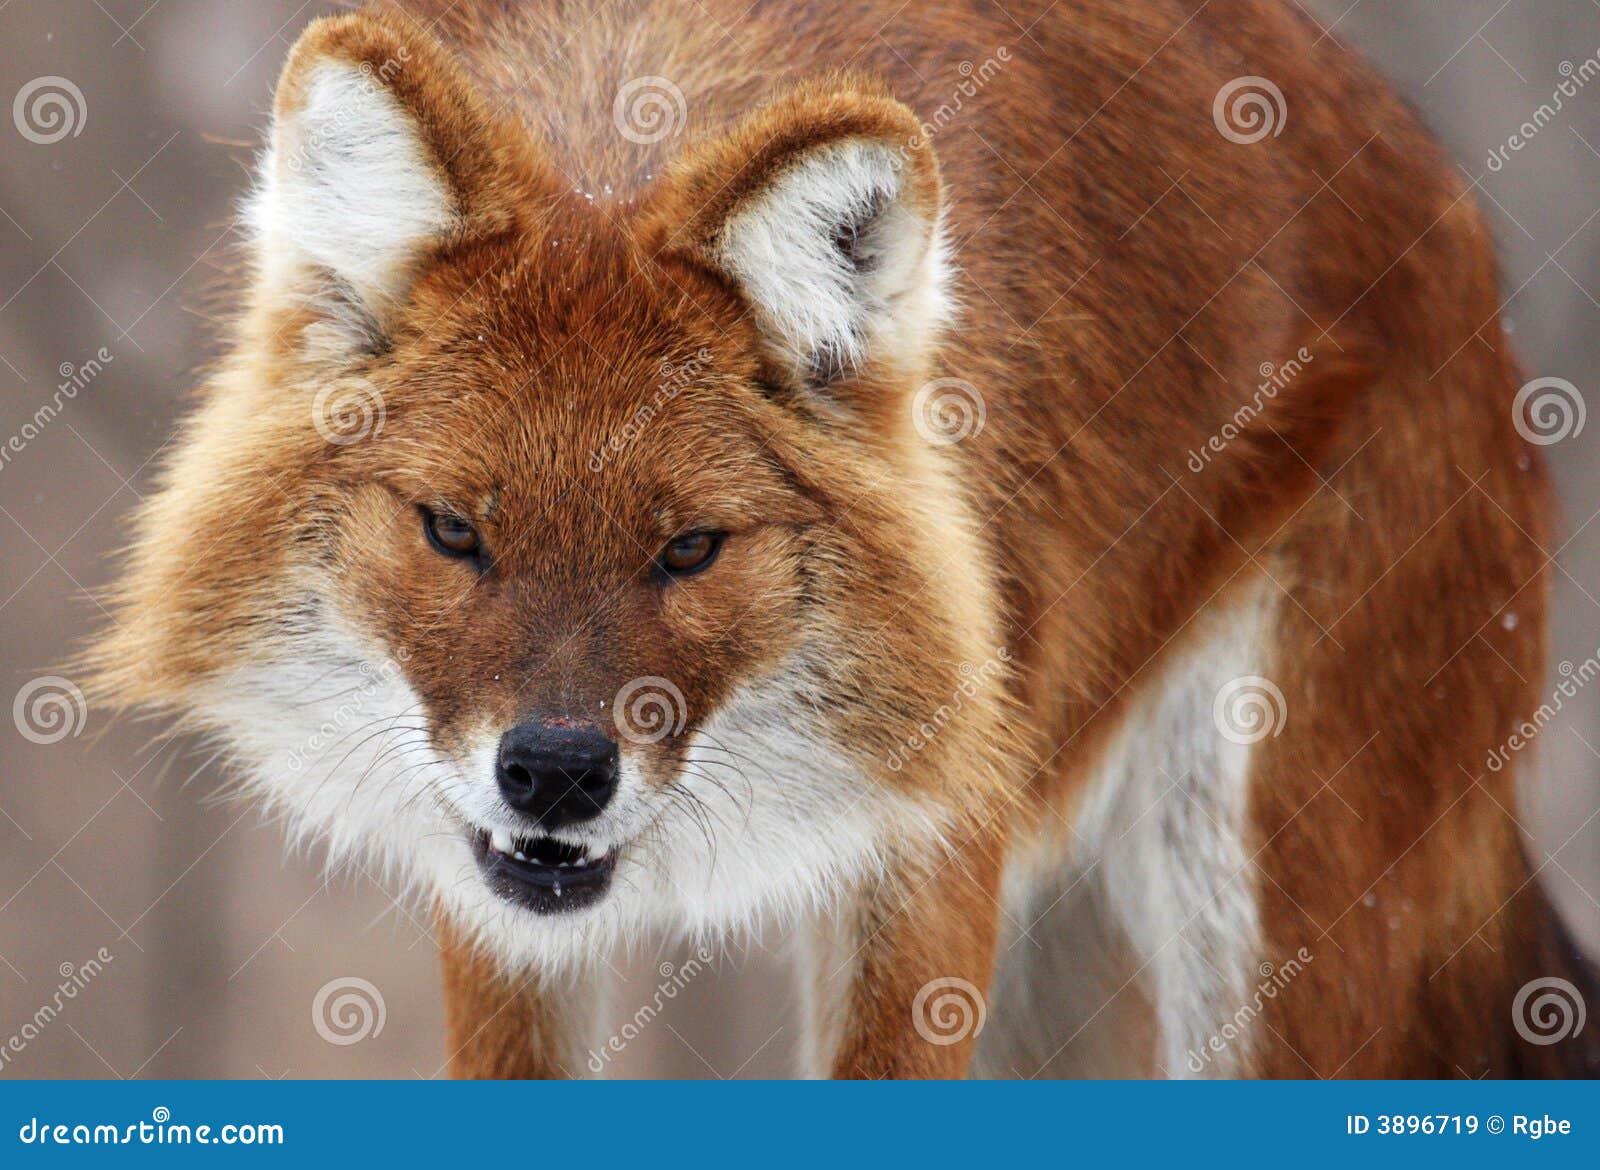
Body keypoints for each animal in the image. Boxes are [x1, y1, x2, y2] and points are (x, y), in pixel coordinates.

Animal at [90, 0, 1600, 1078]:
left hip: (1263, 908)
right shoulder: (497, 912)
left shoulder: (928, 864)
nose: (556, 774)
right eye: (454, 530)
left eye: (691, 549)